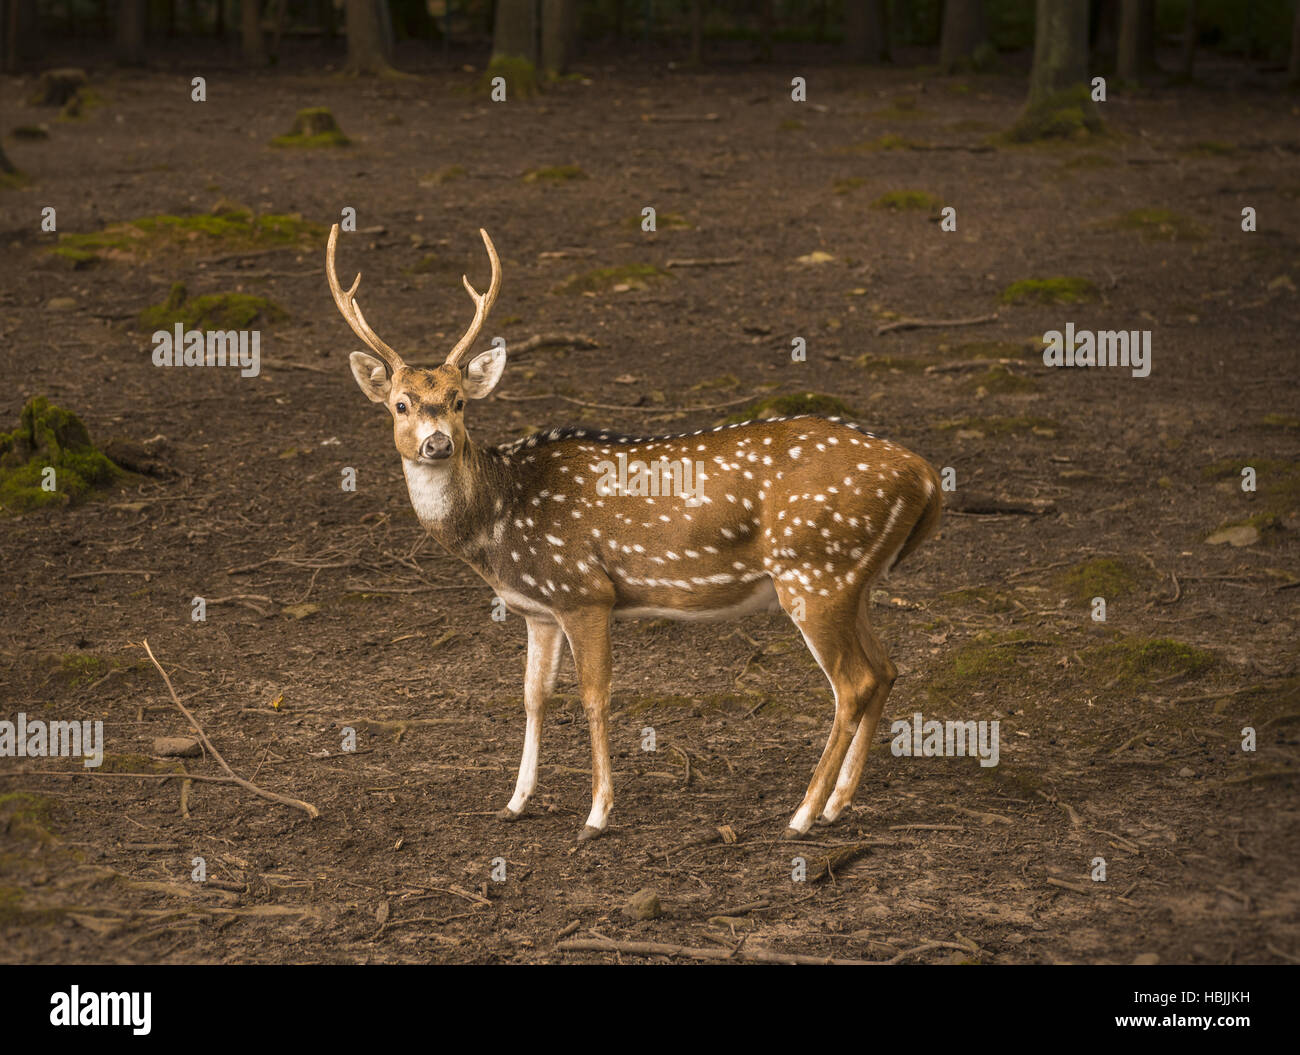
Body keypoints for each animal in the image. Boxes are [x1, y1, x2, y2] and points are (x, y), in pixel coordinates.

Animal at [327, 224, 942, 842]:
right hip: (851, 580)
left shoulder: (585, 591)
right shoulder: (538, 609)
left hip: (814, 570)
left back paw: (803, 814)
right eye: (400, 404)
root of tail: (926, 473)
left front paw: (596, 816)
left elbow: (594, 697)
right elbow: (532, 697)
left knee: (853, 683)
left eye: (458, 402)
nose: (438, 443)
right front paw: (515, 802)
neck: (499, 524)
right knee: (886, 671)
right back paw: (837, 804)